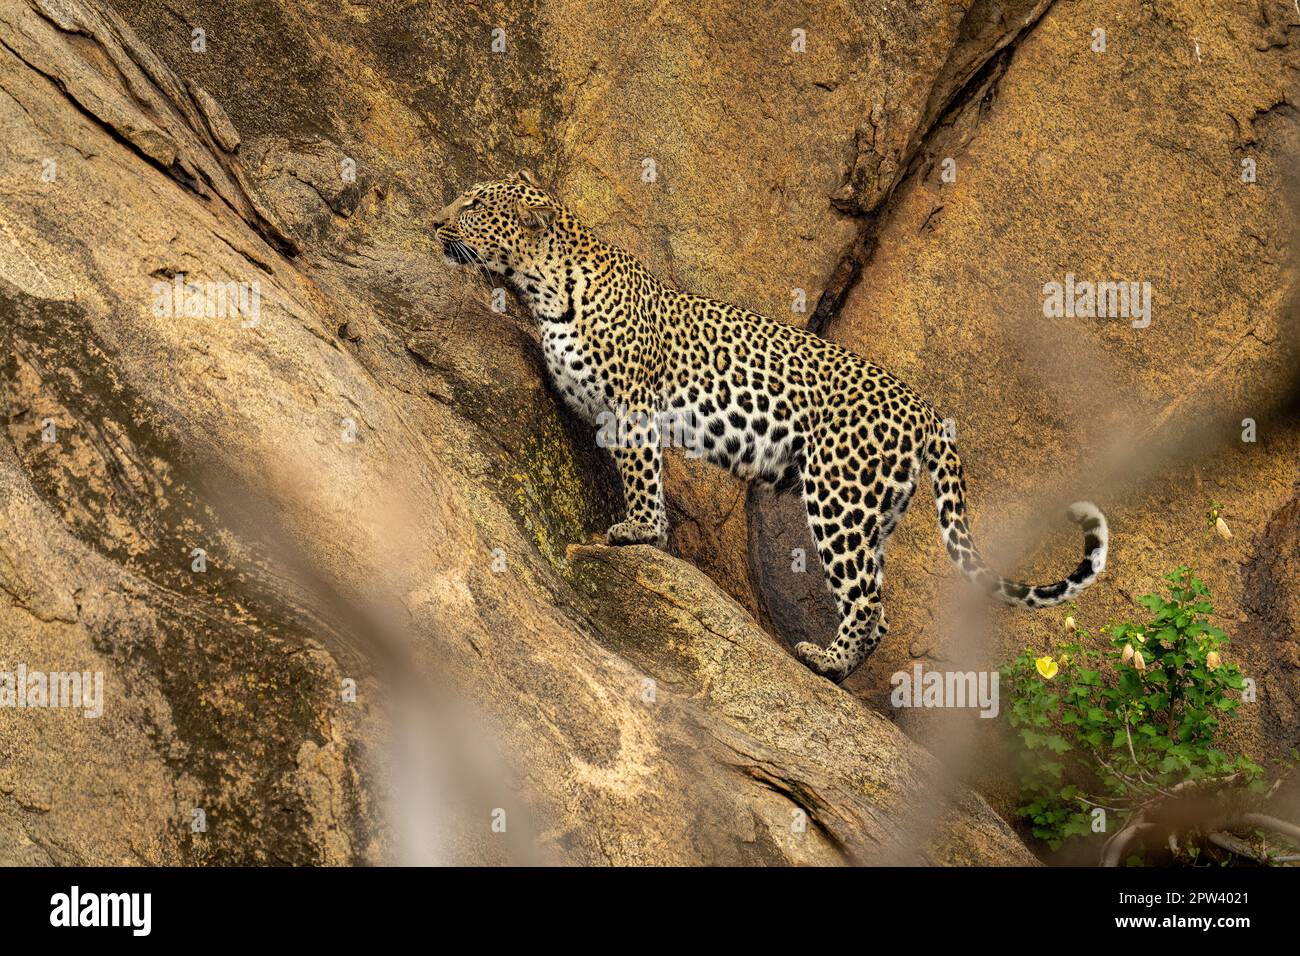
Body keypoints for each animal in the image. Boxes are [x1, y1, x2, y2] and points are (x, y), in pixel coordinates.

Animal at [434, 169, 1109, 684]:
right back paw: (839, 666)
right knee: (877, 604)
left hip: (840, 497)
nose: (435, 223)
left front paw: (639, 532)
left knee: (867, 603)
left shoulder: (635, 404)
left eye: (473, 208)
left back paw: (824, 662)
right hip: (878, 514)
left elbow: (642, 473)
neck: (546, 286)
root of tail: (924, 411)